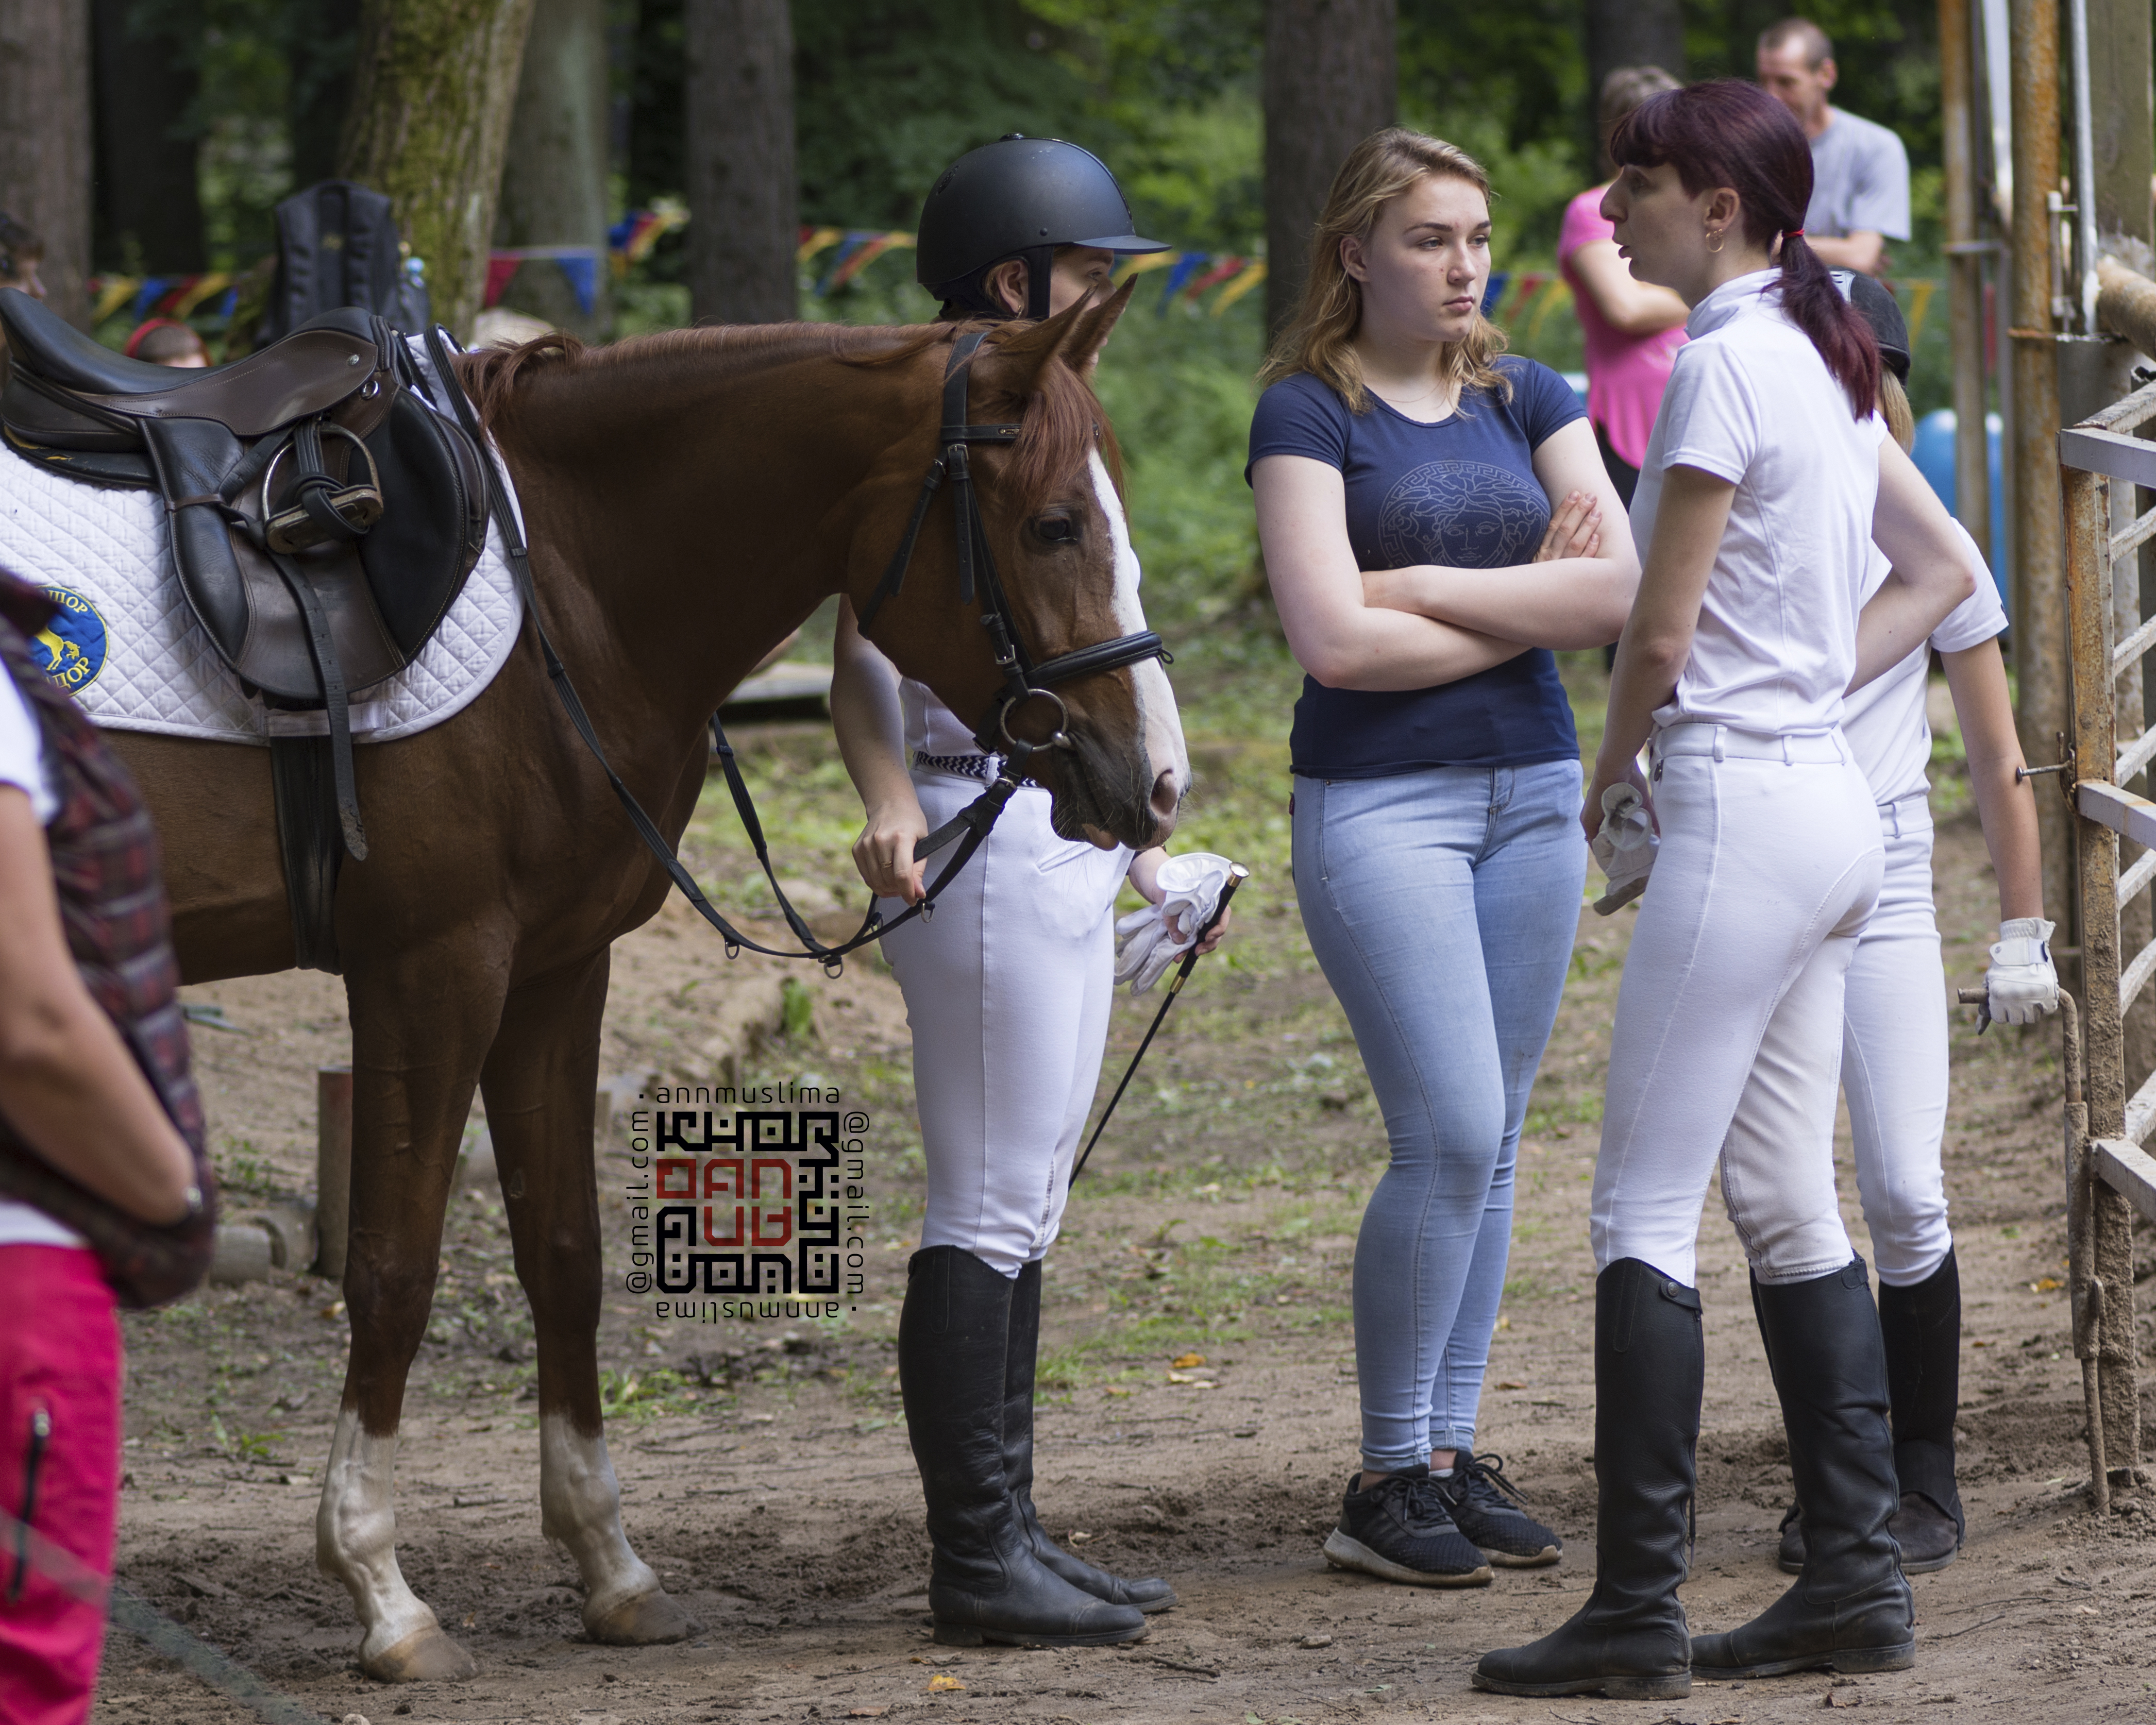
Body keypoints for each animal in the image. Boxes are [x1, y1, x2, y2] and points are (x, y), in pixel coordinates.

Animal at [105, 286, 1181, 1682]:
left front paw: (609, 1569)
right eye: (1053, 522)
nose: (1157, 781)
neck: (562, 582)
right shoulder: (432, 966)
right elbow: (394, 1265)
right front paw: (383, 1593)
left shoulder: (557, 970)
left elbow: (562, 1254)